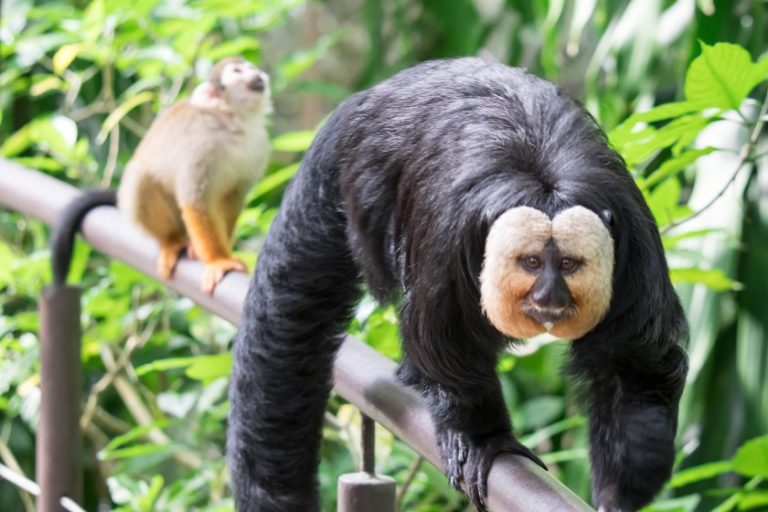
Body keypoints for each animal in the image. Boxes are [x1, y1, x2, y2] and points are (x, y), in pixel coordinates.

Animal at [51, 57, 271, 294]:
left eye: (251, 68)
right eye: (238, 71)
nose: (257, 75)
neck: (232, 126)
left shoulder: (258, 146)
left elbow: (232, 198)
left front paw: (222, 250)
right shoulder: (200, 146)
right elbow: (195, 201)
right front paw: (218, 260)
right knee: (141, 182)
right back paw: (171, 240)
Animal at [227, 58, 688, 512]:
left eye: (569, 264)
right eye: (532, 262)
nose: (549, 294)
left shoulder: (632, 249)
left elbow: (633, 365)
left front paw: (619, 494)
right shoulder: (449, 242)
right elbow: (445, 347)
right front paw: (484, 439)